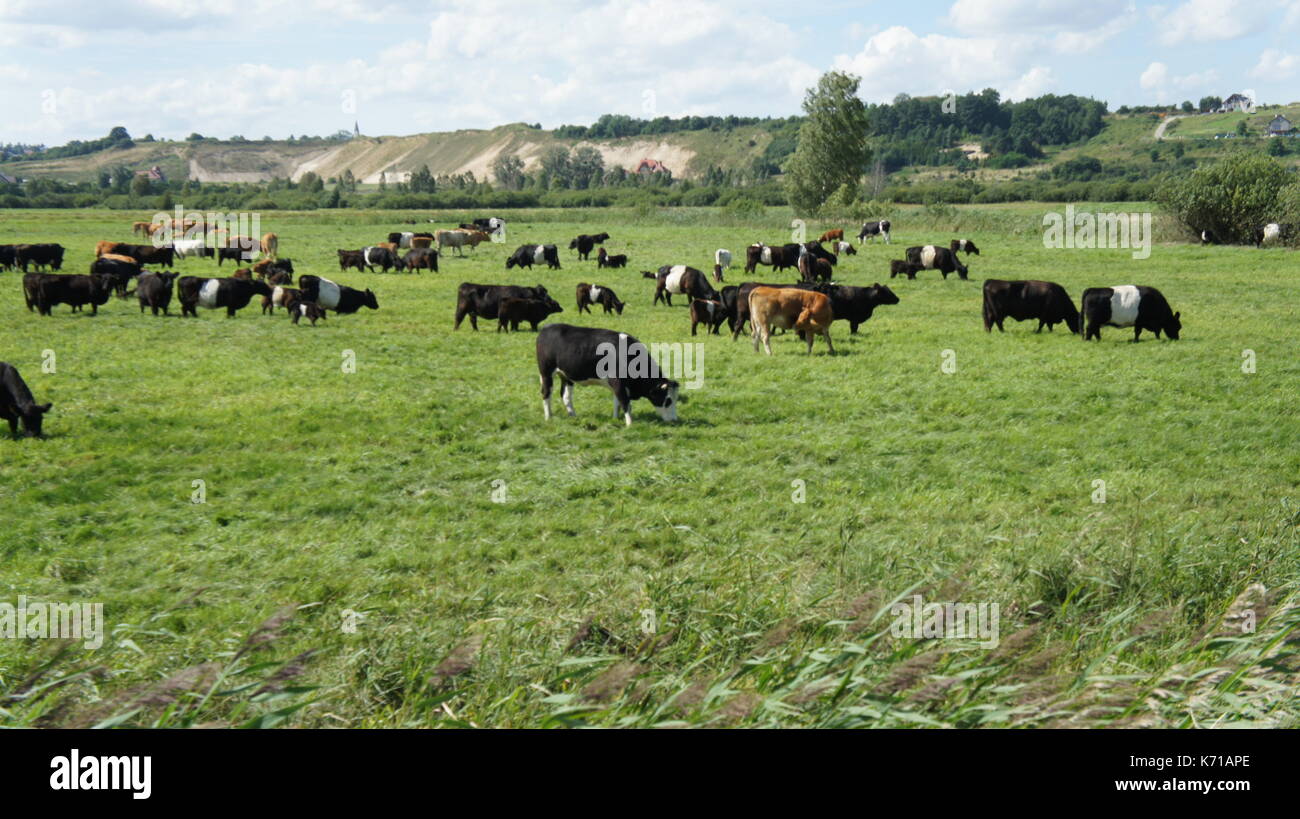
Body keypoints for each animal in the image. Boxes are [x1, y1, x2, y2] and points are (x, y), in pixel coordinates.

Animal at [536, 324, 679, 426]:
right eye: (668, 401)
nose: (674, 420)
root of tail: (546, 328)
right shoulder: (618, 383)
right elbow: (625, 403)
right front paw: (630, 424)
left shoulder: (617, 385)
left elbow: (617, 403)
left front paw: (615, 419)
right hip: (546, 372)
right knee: (546, 393)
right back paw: (548, 417)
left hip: (566, 375)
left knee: (565, 395)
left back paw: (573, 415)